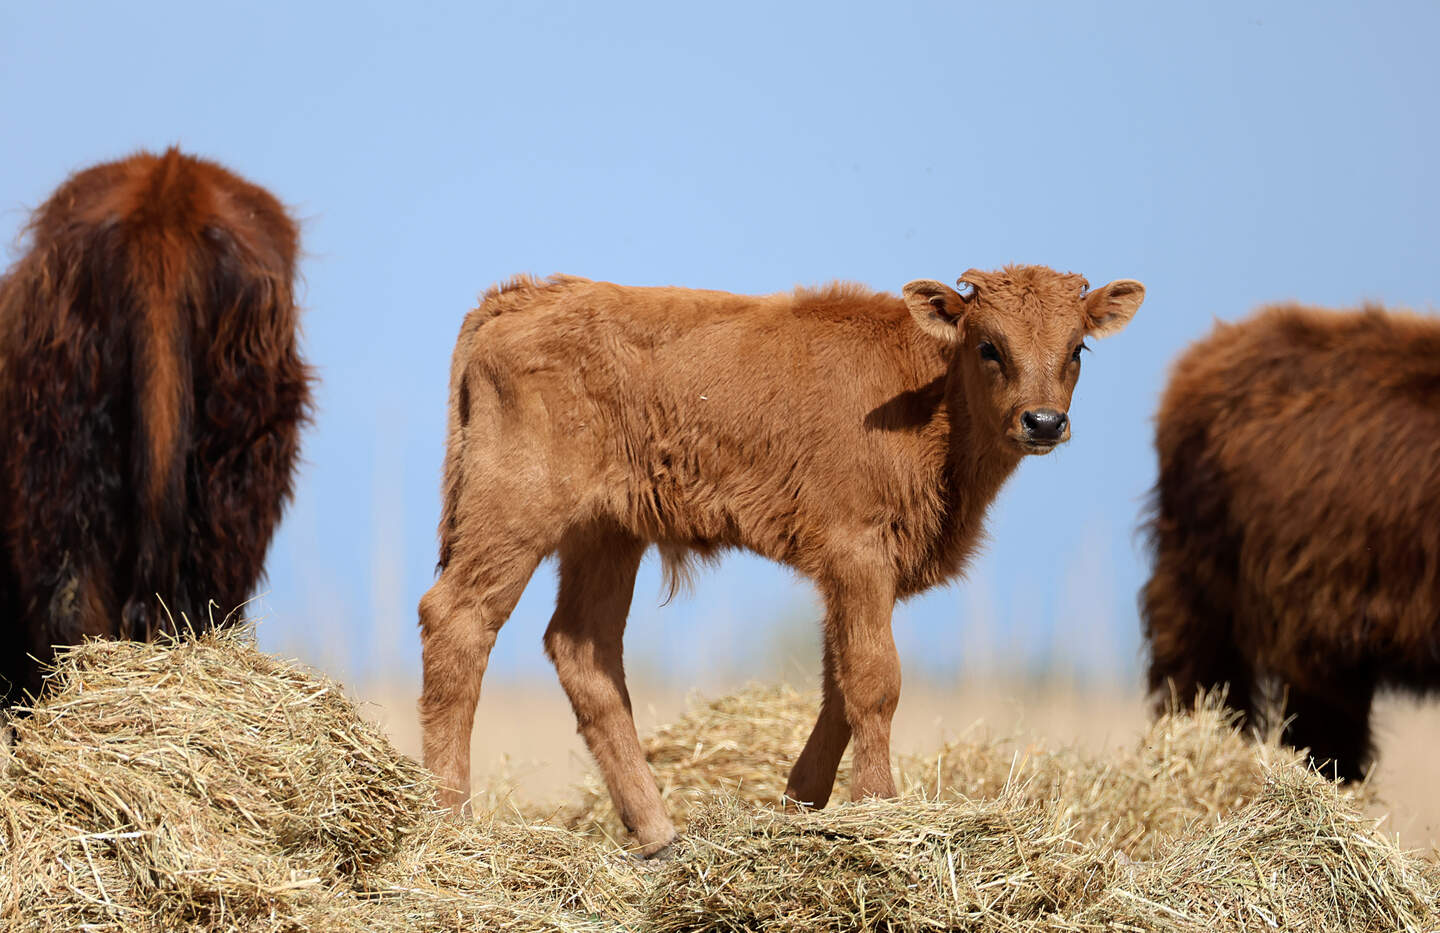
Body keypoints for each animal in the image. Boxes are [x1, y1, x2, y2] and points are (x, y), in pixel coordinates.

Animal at [421, 265, 1145, 855]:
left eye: (1077, 348)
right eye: (989, 345)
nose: (1044, 422)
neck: (928, 390)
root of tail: (524, 295)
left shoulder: (849, 578)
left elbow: (840, 684)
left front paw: (802, 805)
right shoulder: (858, 555)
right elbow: (876, 679)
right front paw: (879, 808)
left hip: (606, 534)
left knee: (583, 648)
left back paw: (659, 834)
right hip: (514, 515)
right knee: (457, 620)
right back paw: (449, 818)